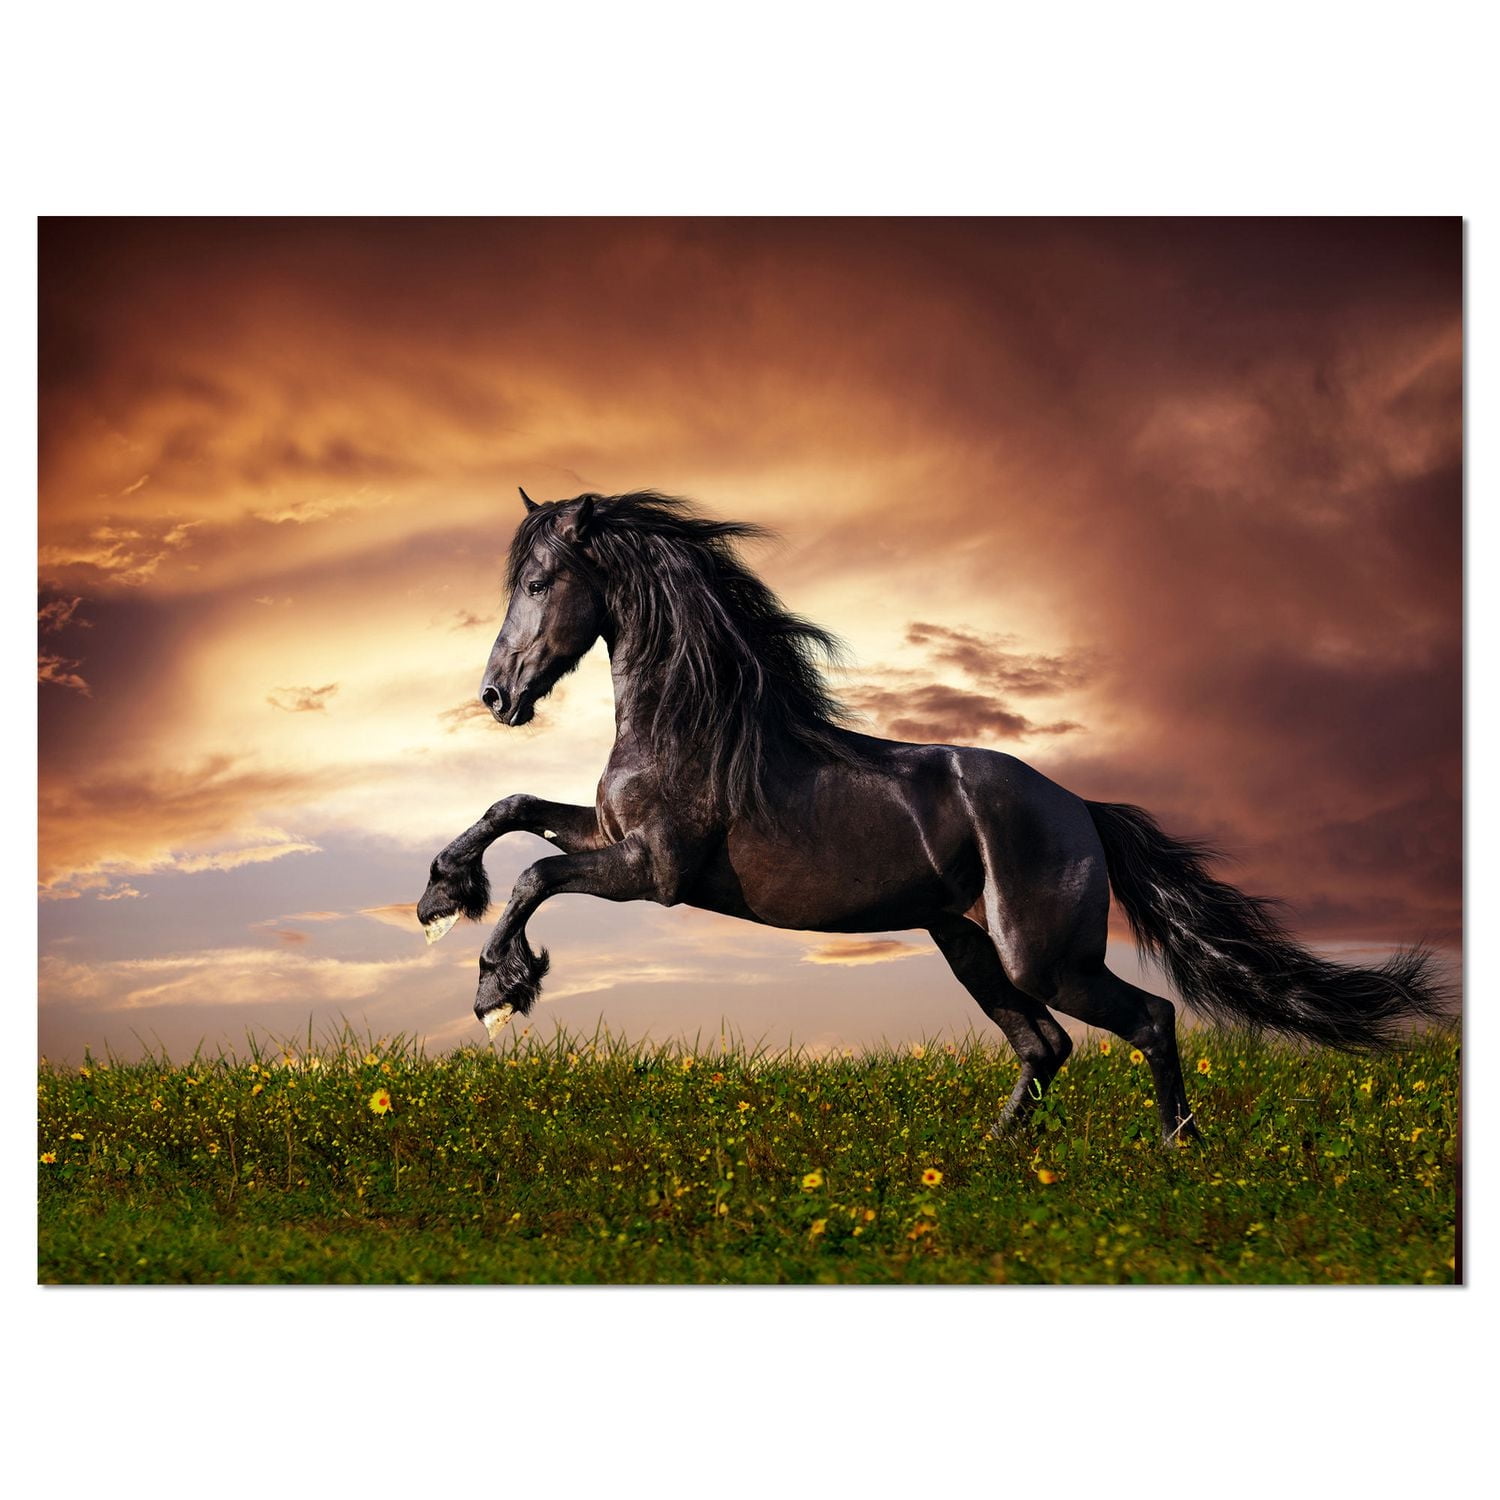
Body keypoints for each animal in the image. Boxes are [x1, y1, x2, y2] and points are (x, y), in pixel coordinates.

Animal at [417, 489, 1445, 1142]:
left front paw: (499, 986)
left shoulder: (653, 873)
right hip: (966, 944)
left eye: (540, 584)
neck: (692, 724)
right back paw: (991, 1158)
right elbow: (514, 810)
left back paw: (1176, 1152)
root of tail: (1082, 809)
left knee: (1146, 1019)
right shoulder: (615, 840)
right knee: (1046, 1043)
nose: (497, 695)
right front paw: (440, 896)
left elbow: (538, 872)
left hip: (1042, 954)